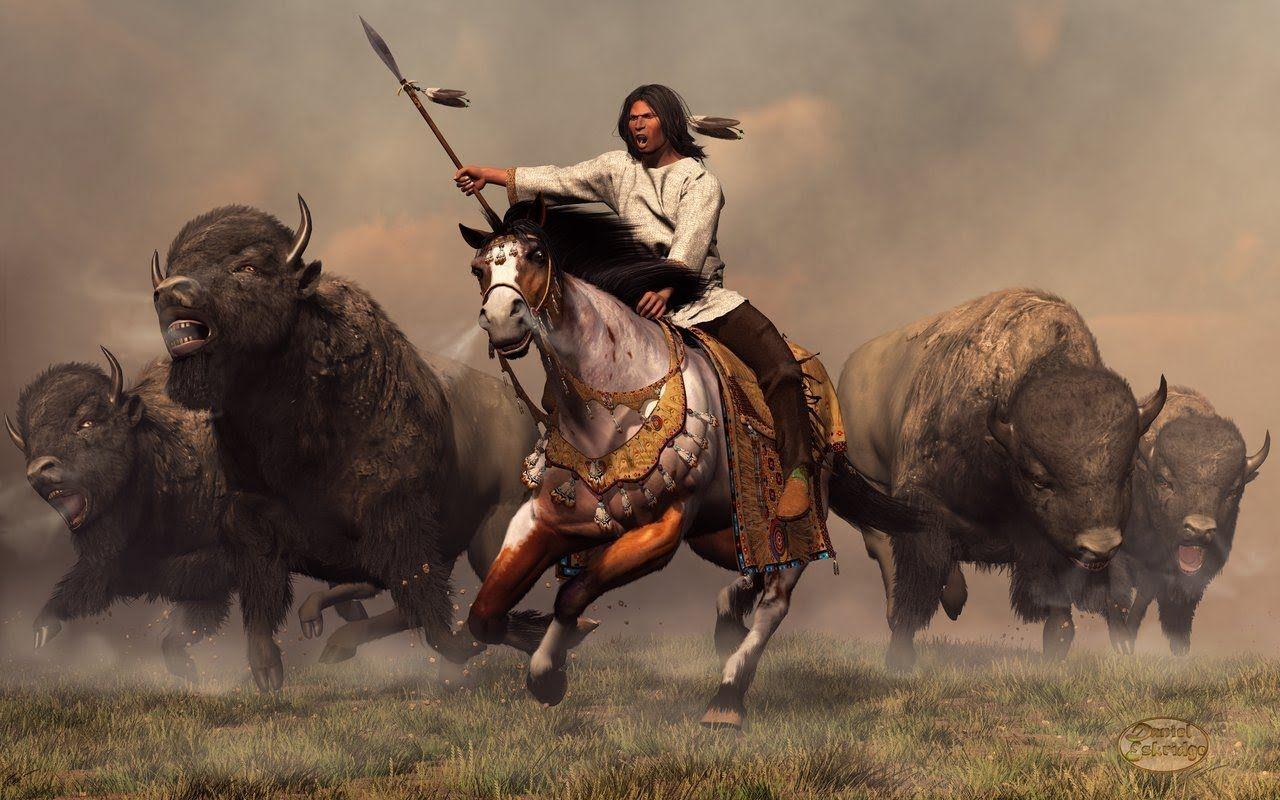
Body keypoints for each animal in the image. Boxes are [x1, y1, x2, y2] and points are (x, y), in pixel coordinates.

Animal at [833, 289, 1165, 669]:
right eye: (1038, 478)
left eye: (1127, 472)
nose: (1100, 546)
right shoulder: (920, 507)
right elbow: (915, 595)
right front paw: (899, 659)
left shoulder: (1046, 552)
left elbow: (1059, 614)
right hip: (870, 488)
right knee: (883, 550)